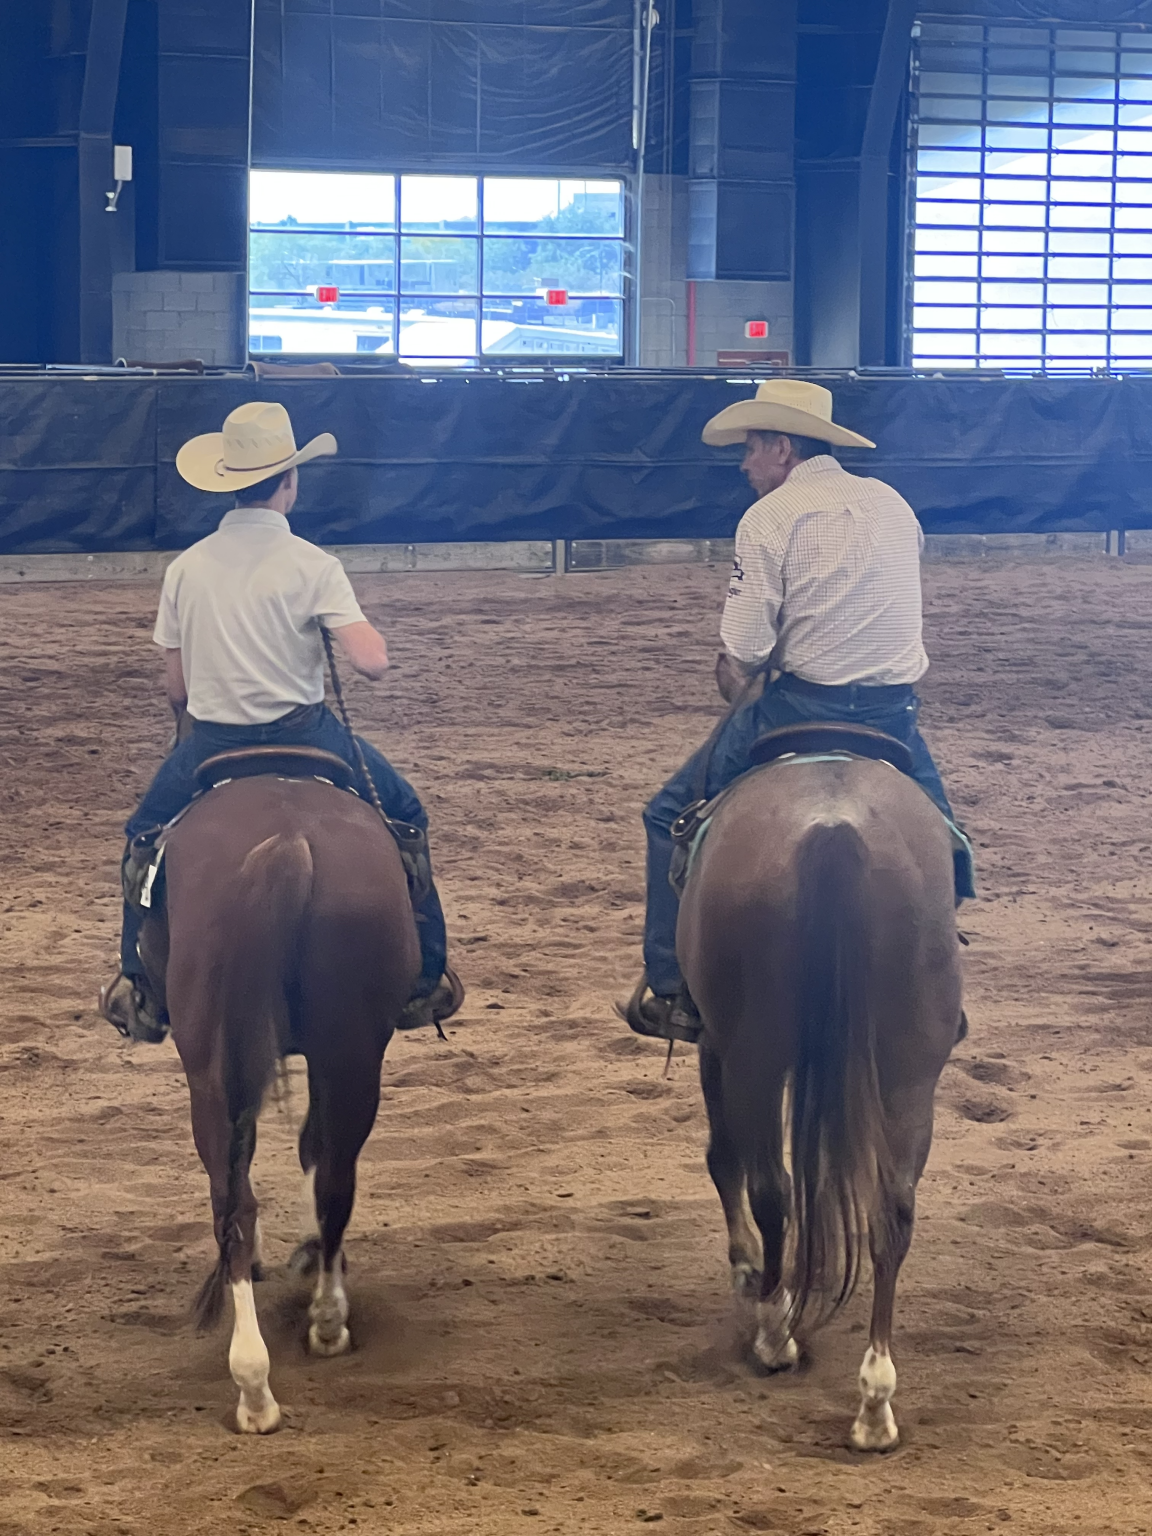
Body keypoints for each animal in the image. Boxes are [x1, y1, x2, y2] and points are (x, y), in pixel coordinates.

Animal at [137, 759, 420, 1432]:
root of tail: (291, 843)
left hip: (219, 1067)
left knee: (242, 1198)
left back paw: (269, 1372)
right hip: (348, 1055)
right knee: (324, 1181)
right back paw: (300, 1344)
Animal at [675, 747, 964, 1451]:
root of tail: (835, 832)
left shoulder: (715, 1046)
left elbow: (722, 1158)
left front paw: (746, 1270)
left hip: (753, 1054)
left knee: (770, 1187)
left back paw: (774, 1333)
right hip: (908, 1072)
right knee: (892, 1213)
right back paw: (875, 1404)